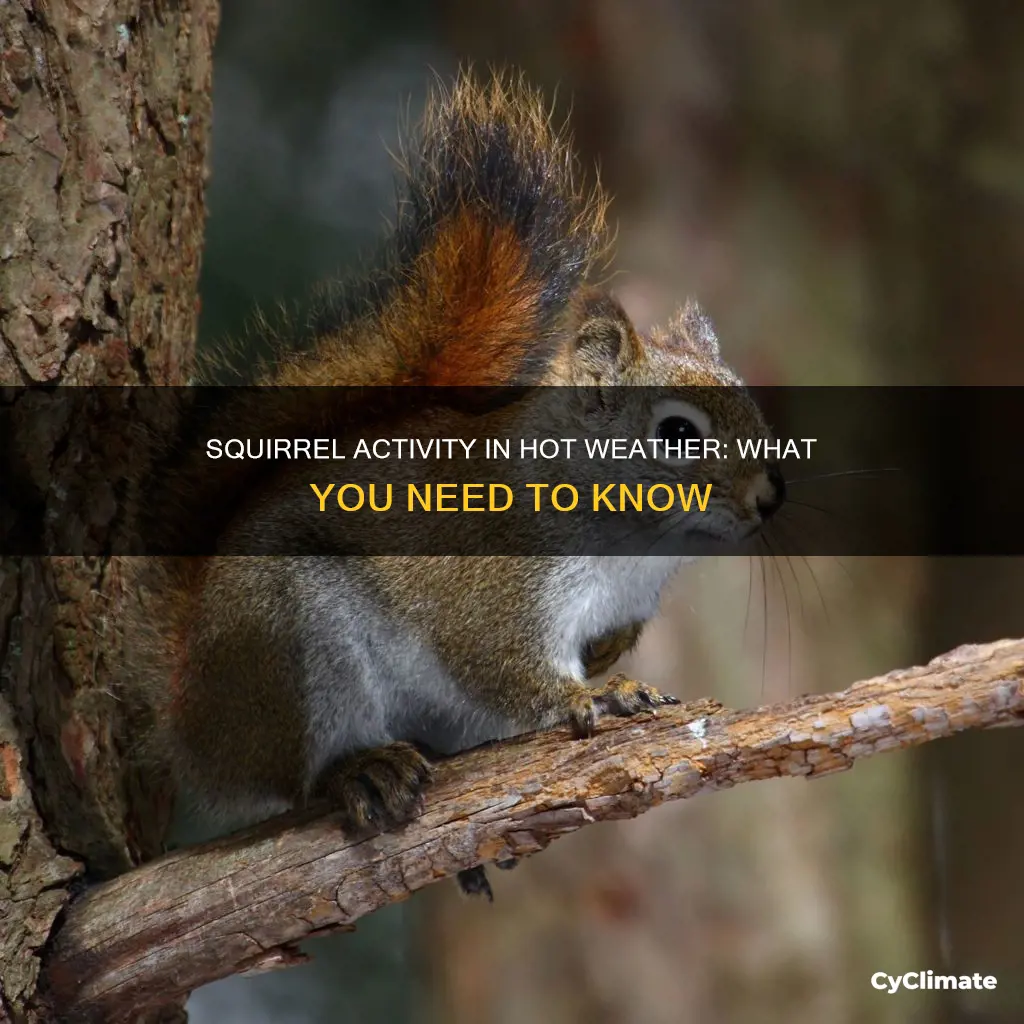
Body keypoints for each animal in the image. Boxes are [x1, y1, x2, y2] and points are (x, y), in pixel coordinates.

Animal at [125, 72, 784, 891]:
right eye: (677, 434)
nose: (769, 497)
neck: (635, 547)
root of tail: (191, 716)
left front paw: (612, 655)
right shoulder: (494, 581)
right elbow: (500, 661)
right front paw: (595, 692)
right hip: (285, 639)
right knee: (294, 776)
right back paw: (359, 771)